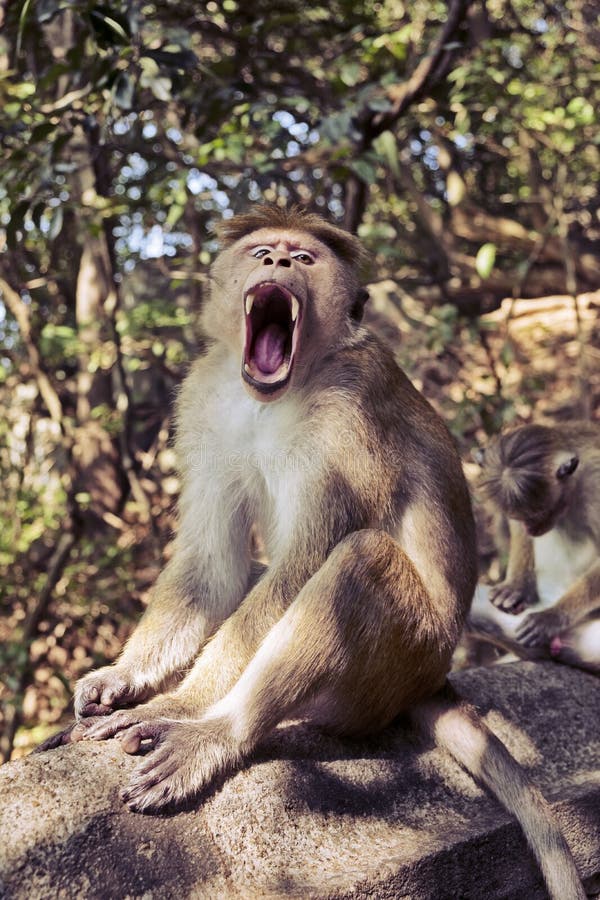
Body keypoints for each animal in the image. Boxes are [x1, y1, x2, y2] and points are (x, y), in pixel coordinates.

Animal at [38, 206, 585, 900]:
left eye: (304, 259)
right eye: (264, 251)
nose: (278, 262)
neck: (277, 393)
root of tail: (433, 679)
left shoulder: (349, 421)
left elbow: (299, 568)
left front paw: (174, 705)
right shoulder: (203, 402)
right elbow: (214, 567)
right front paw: (122, 679)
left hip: (391, 670)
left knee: (358, 562)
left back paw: (217, 734)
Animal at [470, 421, 600, 674]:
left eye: (538, 513)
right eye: (518, 515)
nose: (530, 527)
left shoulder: (596, 489)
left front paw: (552, 617)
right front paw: (516, 586)